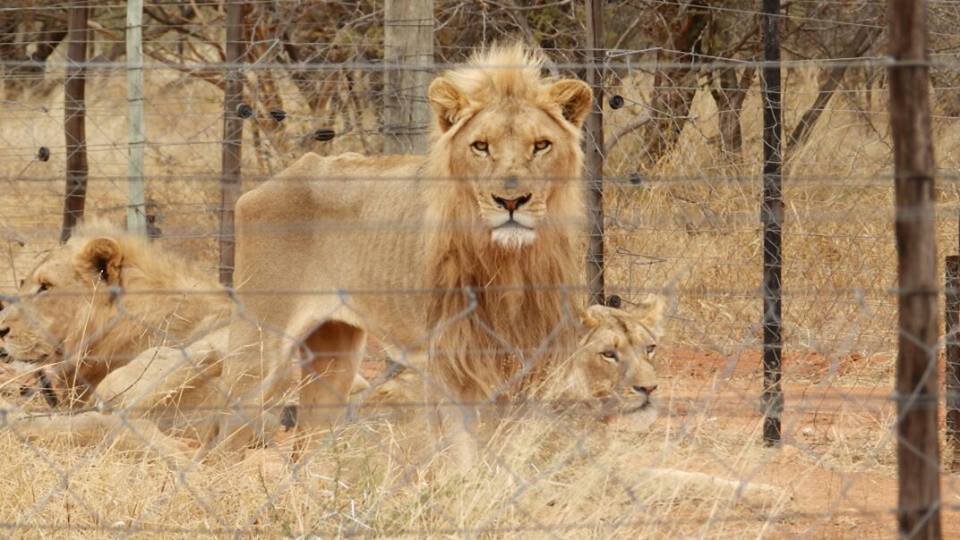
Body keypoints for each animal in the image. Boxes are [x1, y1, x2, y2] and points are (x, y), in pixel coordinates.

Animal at [219, 42, 593, 458]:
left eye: (541, 145)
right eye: (480, 146)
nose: (510, 201)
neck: (509, 262)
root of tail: (281, 176)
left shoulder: (531, 358)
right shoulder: (448, 361)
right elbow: (463, 452)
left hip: (335, 355)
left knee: (307, 440)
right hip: (258, 346)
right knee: (224, 436)